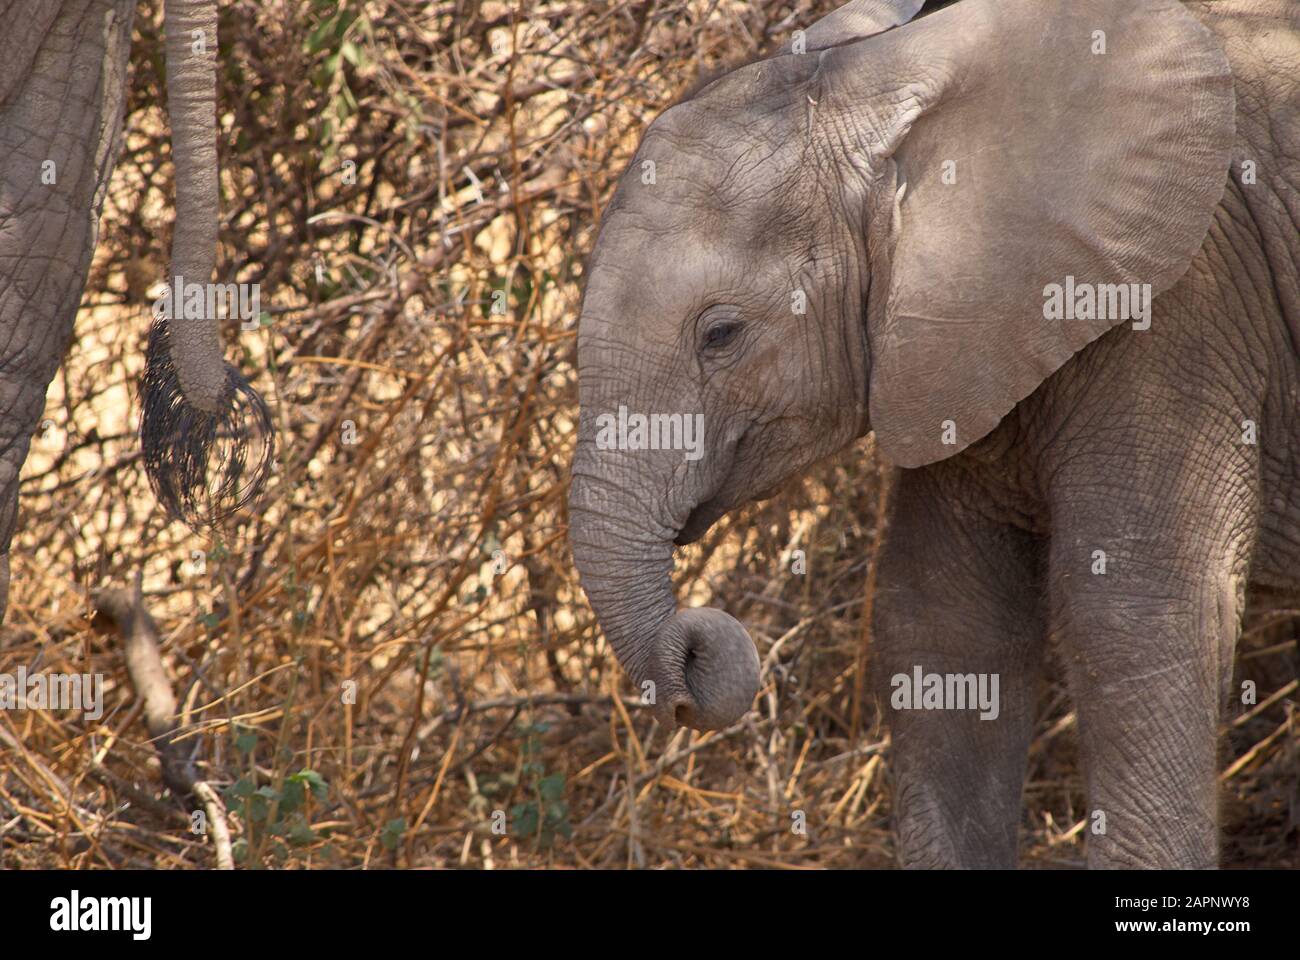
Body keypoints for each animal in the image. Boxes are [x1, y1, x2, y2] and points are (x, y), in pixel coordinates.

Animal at [567, 0, 1300, 868]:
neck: (894, 78)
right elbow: (945, 622)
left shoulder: (1184, 304)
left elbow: (1134, 615)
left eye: (721, 335)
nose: (700, 646)